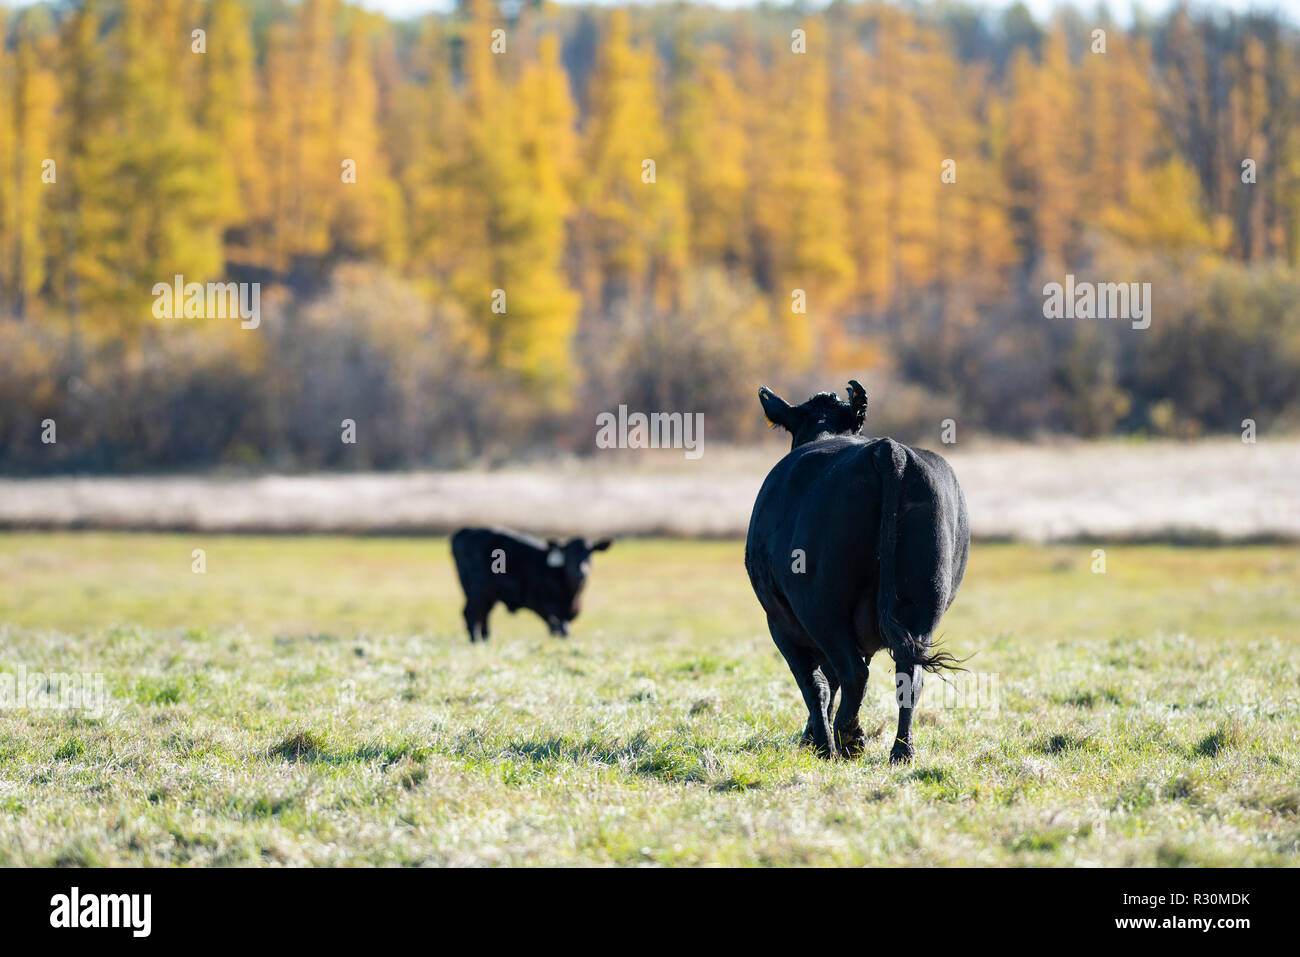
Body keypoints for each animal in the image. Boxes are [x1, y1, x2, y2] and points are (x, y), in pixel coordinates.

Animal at [450, 527, 612, 642]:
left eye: (589, 553)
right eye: (568, 555)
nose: (581, 573)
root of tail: (464, 531)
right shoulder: (545, 604)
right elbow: (561, 628)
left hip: (487, 595)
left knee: (483, 614)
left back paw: (486, 639)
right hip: (477, 591)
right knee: (470, 613)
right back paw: (476, 640)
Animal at [744, 380, 969, 763]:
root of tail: (886, 449)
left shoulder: (781, 624)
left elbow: (817, 683)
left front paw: (818, 742)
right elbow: (830, 681)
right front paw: (812, 737)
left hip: (821, 606)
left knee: (851, 673)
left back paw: (848, 739)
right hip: (926, 602)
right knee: (909, 674)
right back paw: (901, 751)